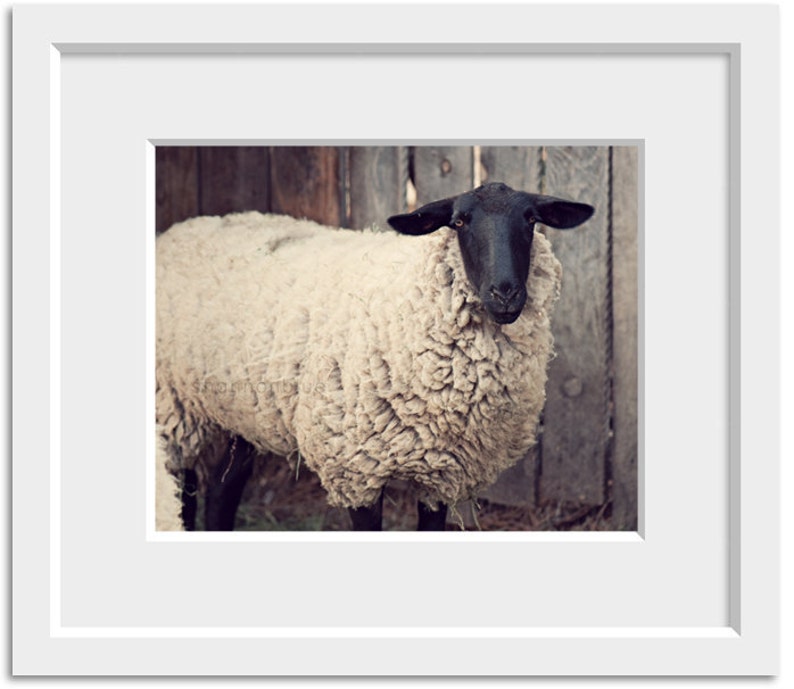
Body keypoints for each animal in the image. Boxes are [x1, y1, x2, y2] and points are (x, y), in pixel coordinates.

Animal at [155, 182, 594, 531]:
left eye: (531, 219)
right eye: (458, 222)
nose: (504, 293)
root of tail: (183, 228)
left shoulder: (440, 473)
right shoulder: (354, 467)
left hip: (239, 409)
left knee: (222, 489)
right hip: (173, 409)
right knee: (185, 490)